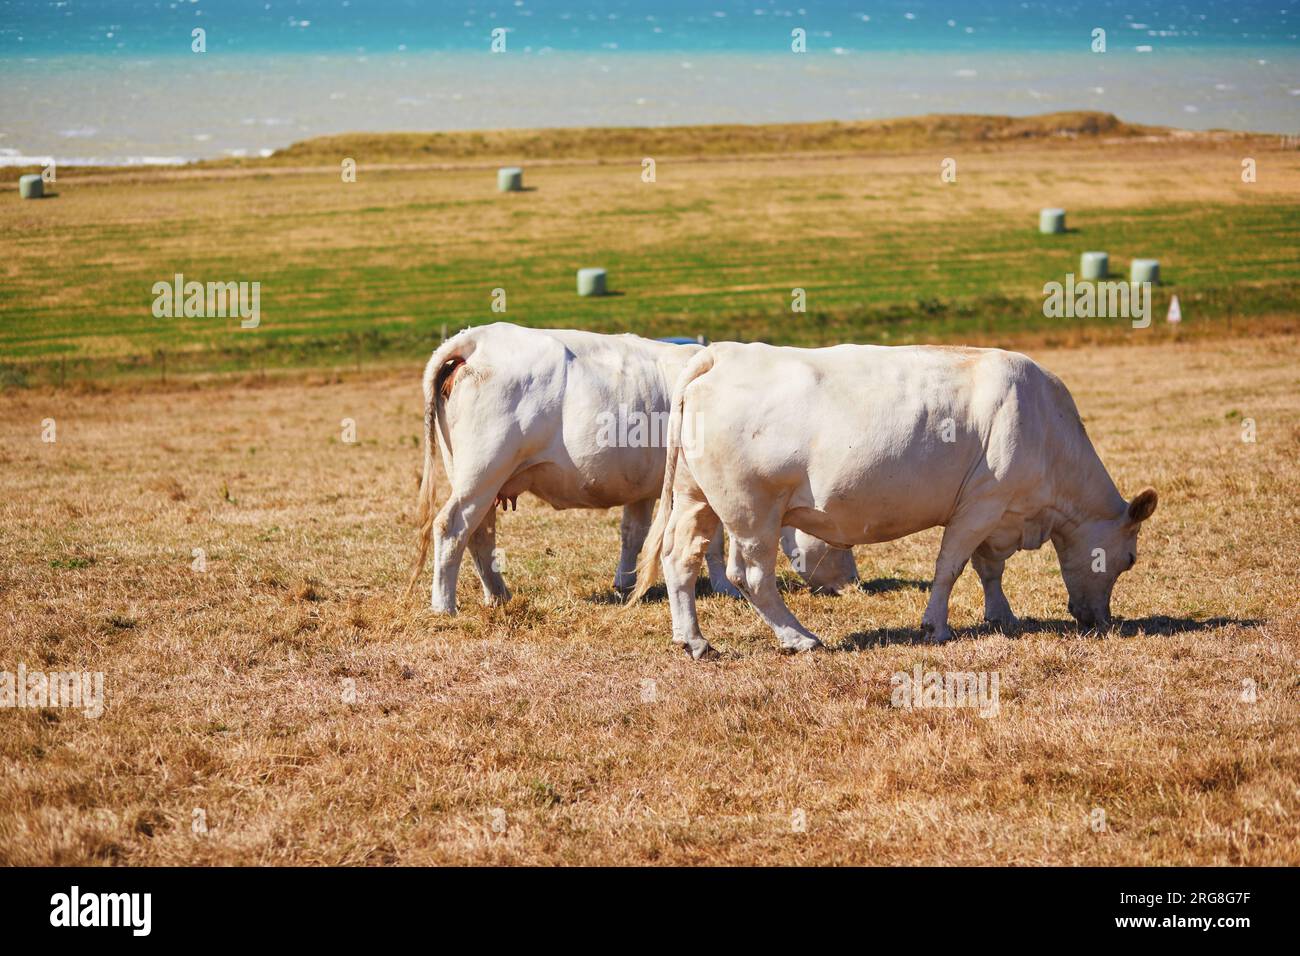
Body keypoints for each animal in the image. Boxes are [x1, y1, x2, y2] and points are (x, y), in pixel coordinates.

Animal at [407, 323, 857, 614]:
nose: (853, 583)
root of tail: (475, 339)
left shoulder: (645, 489)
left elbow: (632, 534)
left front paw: (625, 583)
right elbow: (711, 543)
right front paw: (726, 588)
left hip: (478, 477)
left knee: (479, 535)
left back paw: (498, 595)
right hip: (483, 470)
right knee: (451, 527)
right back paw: (445, 606)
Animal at [629, 341, 1158, 658]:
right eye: (1129, 559)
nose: (1100, 621)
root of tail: (724, 354)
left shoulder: (999, 513)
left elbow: (989, 568)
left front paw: (1001, 615)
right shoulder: (982, 503)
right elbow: (950, 567)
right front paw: (935, 626)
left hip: (695, 496)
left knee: (680, 558)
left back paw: (694, 641)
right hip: (751, 509)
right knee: (752, 576)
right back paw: (799, 638)